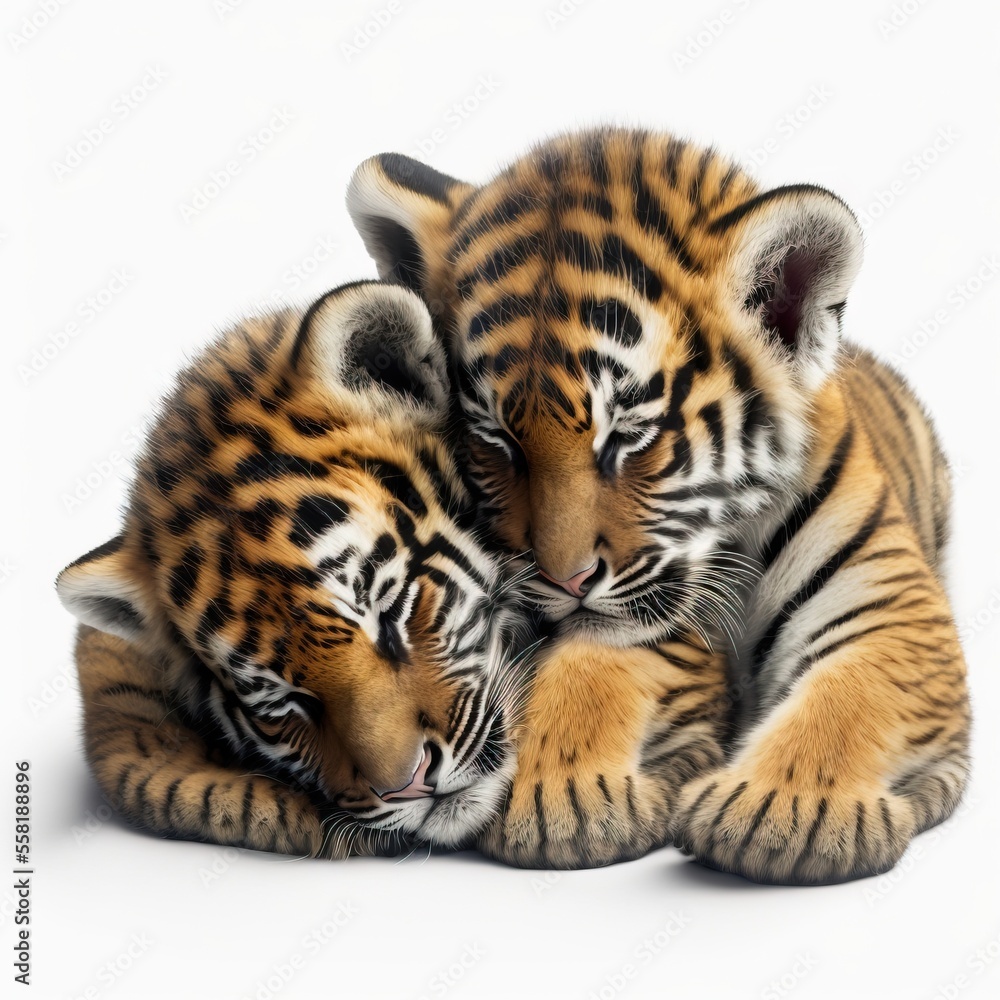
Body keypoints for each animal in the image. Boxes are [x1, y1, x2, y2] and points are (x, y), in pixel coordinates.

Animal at [345, 126, 972, 883]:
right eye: (496, 440)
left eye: (627, 435)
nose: (564, 581)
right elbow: (590, 667)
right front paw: (558, 793)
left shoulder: (893, 609)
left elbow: (852, 695)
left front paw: (786, 809)